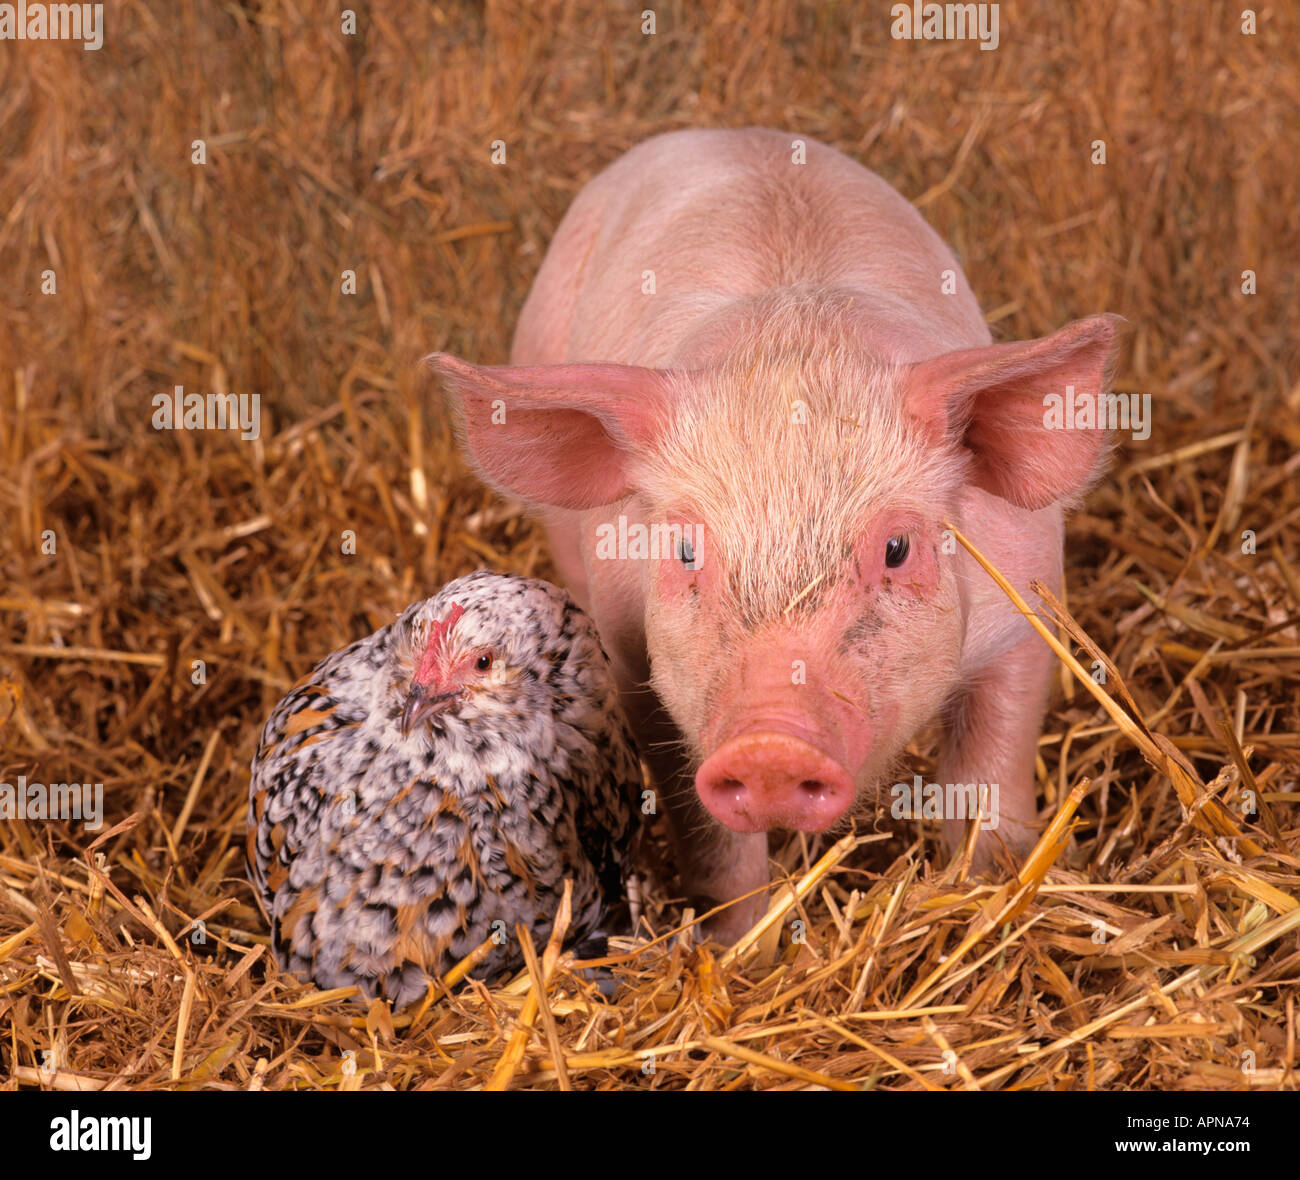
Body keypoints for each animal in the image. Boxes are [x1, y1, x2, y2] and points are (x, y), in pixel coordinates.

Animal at [432, 128, 1120, 941]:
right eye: (686, 549)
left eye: (897, 548)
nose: (769, 744)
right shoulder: (639, 663)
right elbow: (711, 838)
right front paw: (738, 946)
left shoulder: (1025, 614)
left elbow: (992, 777)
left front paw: (994, 891)